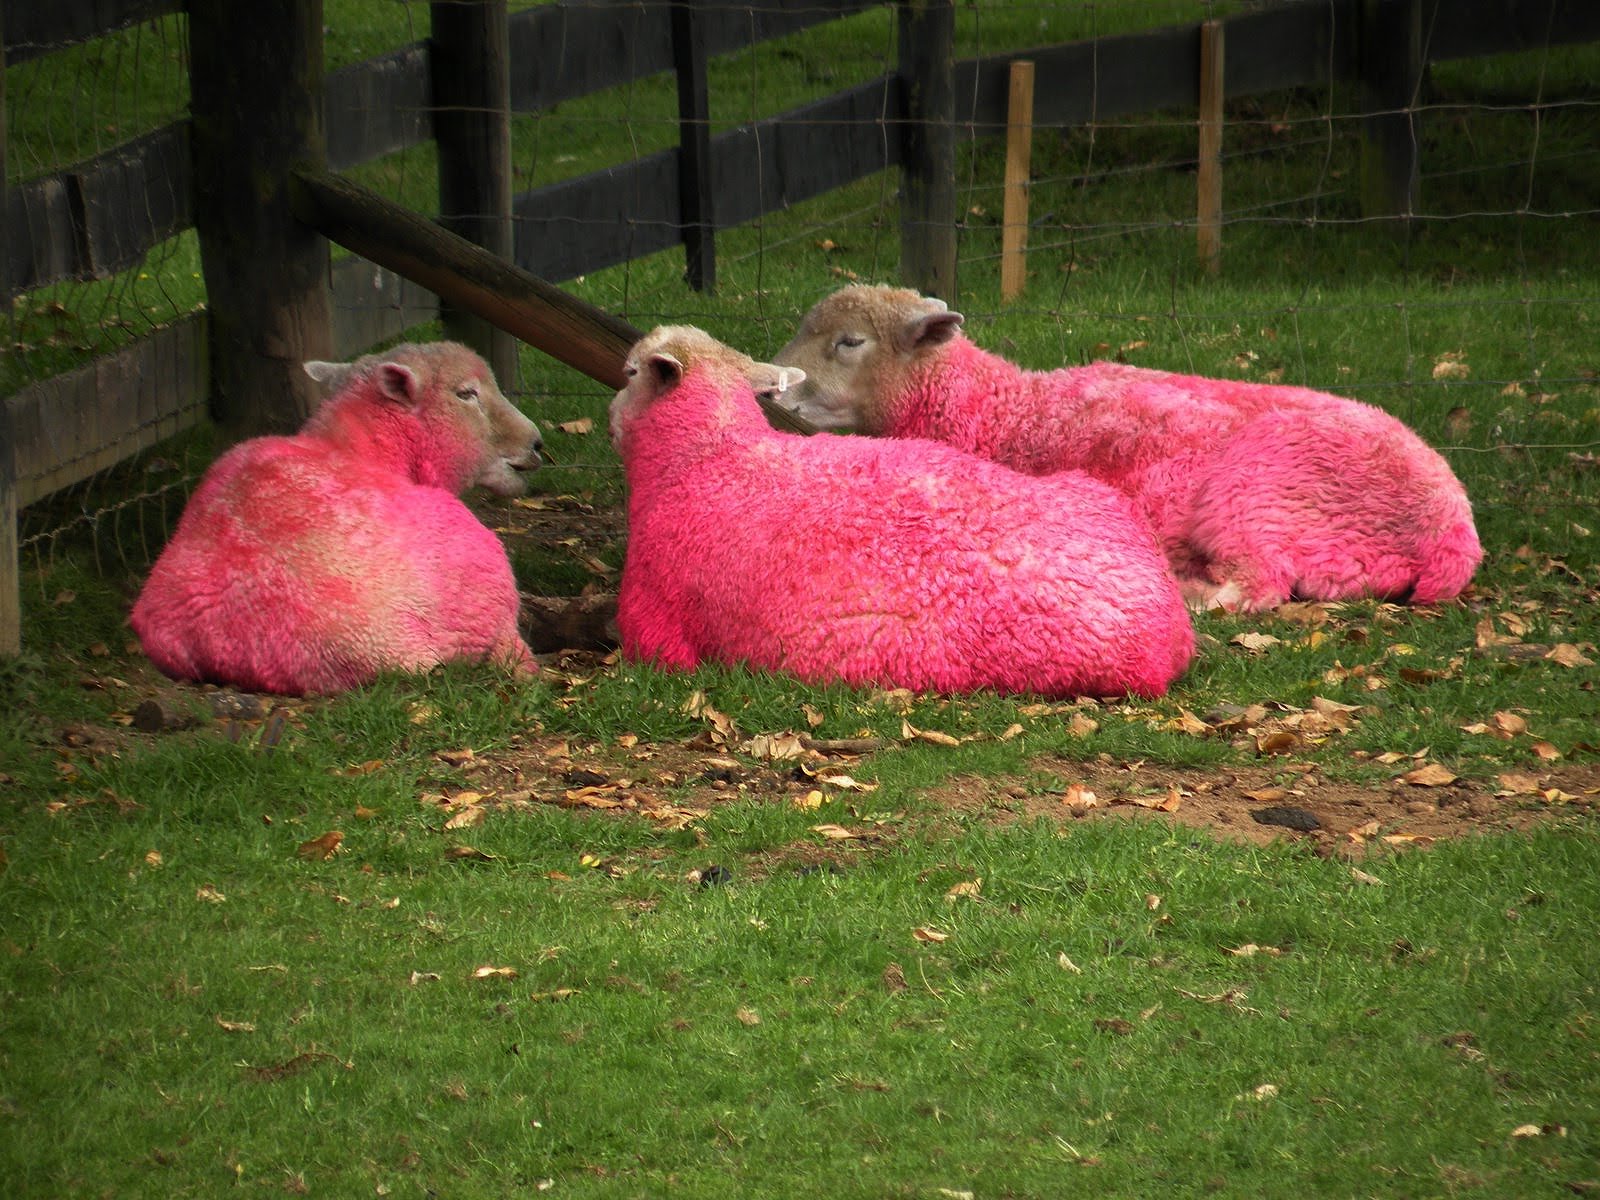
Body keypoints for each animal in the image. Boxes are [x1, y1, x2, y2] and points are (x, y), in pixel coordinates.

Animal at [771, 284, 1483, 613]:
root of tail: (1454, 530)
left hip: (1259, 491)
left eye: (850, 342)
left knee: (1257, 586)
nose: (775, 388)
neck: (1001, 409)